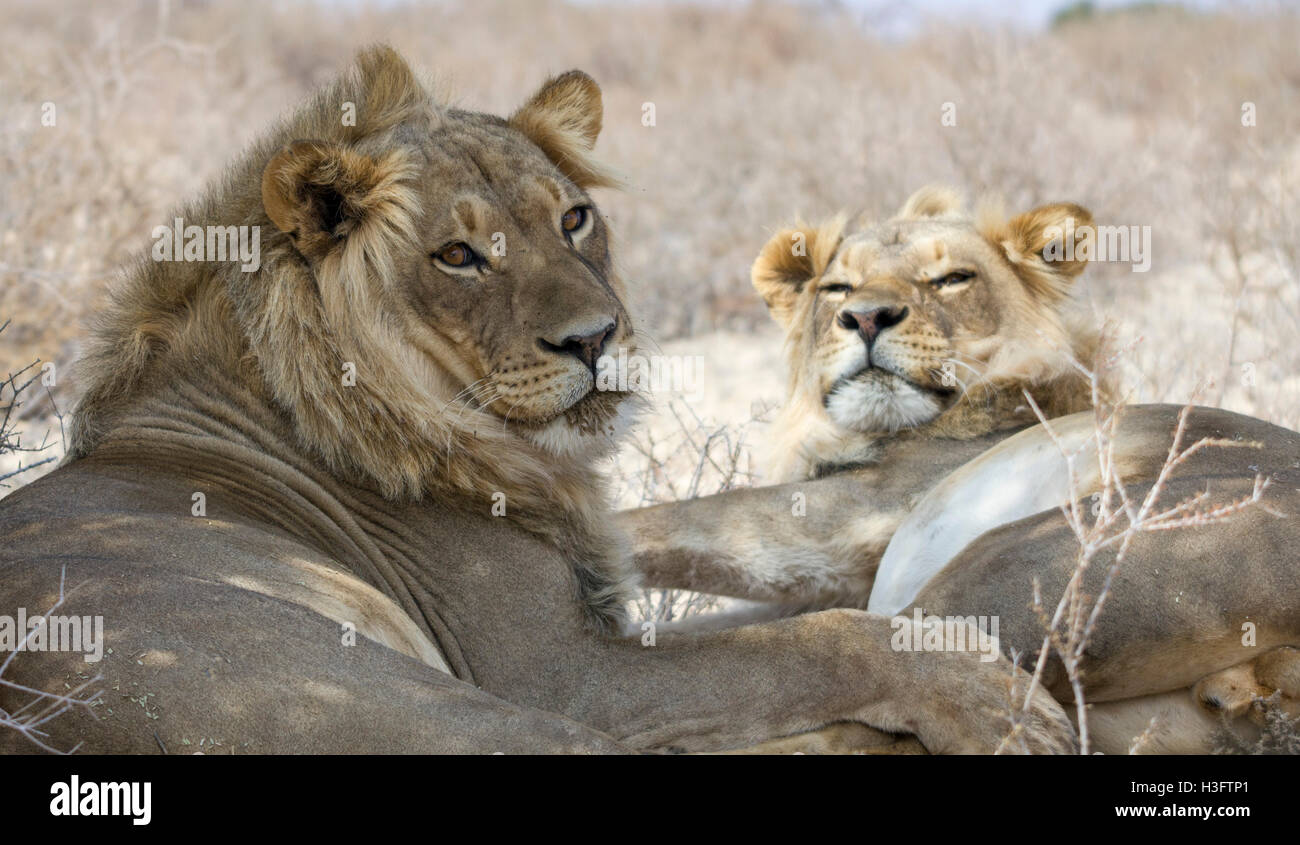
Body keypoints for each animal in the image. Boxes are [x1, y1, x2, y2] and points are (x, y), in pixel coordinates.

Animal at [0, 48, 1076, 755]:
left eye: (574, 218)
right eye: (457, 255)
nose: (596, 339)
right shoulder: (565, 673)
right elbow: (808, 638)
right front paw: (985, 692)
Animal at [621, 189, 1300, 753]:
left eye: (950, 279)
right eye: (838, 288)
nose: (866, 318)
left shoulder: (848, 510)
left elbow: (667, 524)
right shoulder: (832, 581)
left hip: (1020, 569)